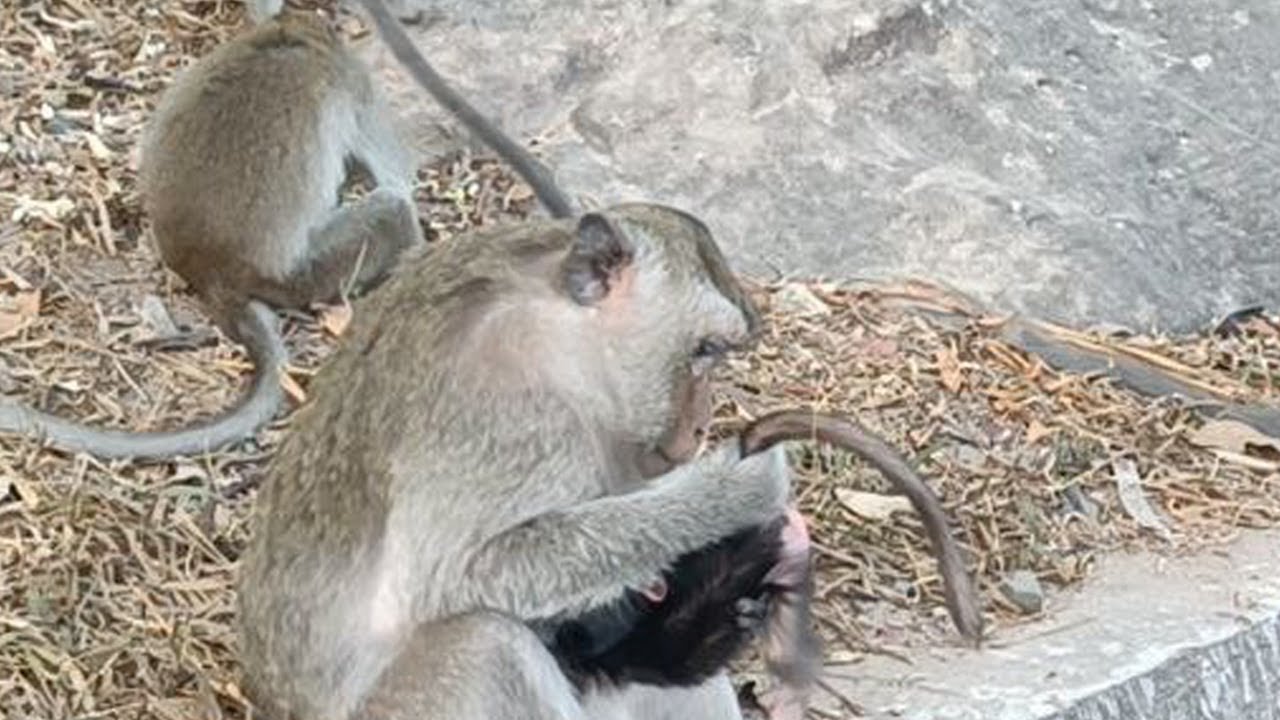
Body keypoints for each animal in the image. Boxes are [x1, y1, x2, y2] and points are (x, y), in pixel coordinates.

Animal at [0, 11, 423, 460]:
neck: (288, 32)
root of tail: (213, 275)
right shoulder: (354, 81)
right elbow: (397, 178)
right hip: (305, 273)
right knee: (392, 207)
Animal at [236, 204, 794, 720]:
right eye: (705, 350)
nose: (702, 422)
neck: (557, 331)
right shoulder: (509, 417)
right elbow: (463, 574)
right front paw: (734, 490)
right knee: (486, 647)